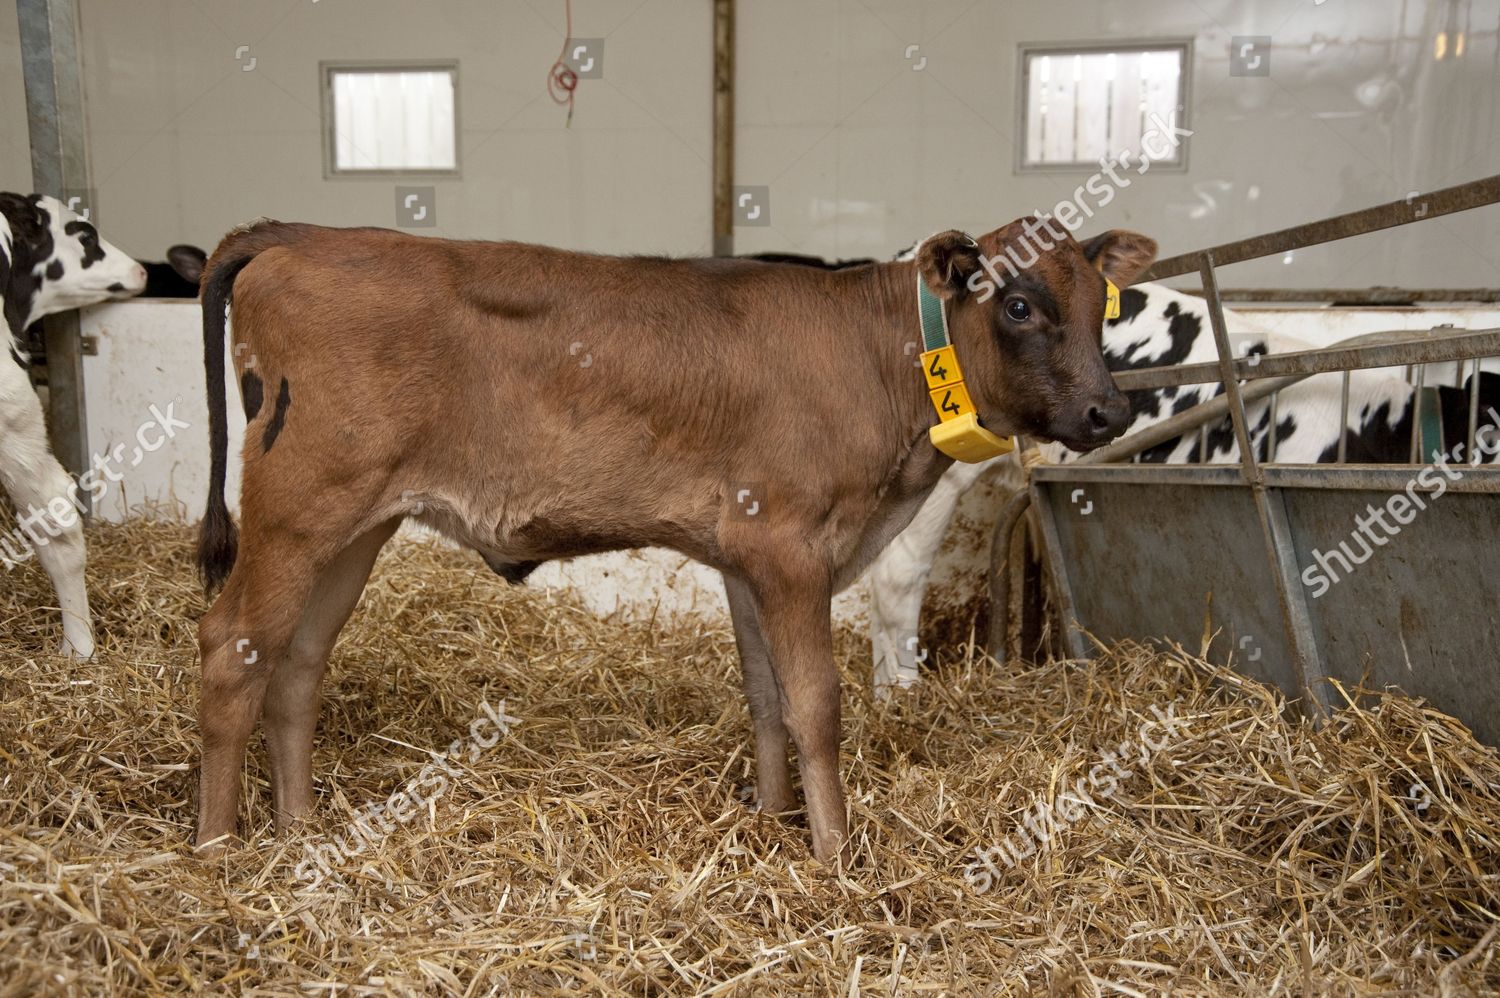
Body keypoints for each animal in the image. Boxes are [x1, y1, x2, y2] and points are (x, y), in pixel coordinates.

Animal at [189, 217, 1156, 863]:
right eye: (1020, 304)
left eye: (1103, 305)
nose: (1109, 411)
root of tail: (302, 234)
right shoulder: (789, 544)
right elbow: (816, 704)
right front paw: (837, 855)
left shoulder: (744, 554)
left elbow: (766, 697)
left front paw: (773, 824)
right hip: (297, 508)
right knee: (231, 648)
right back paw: (218, 850)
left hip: (355, 524)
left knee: (296, 662)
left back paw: (299, 830)